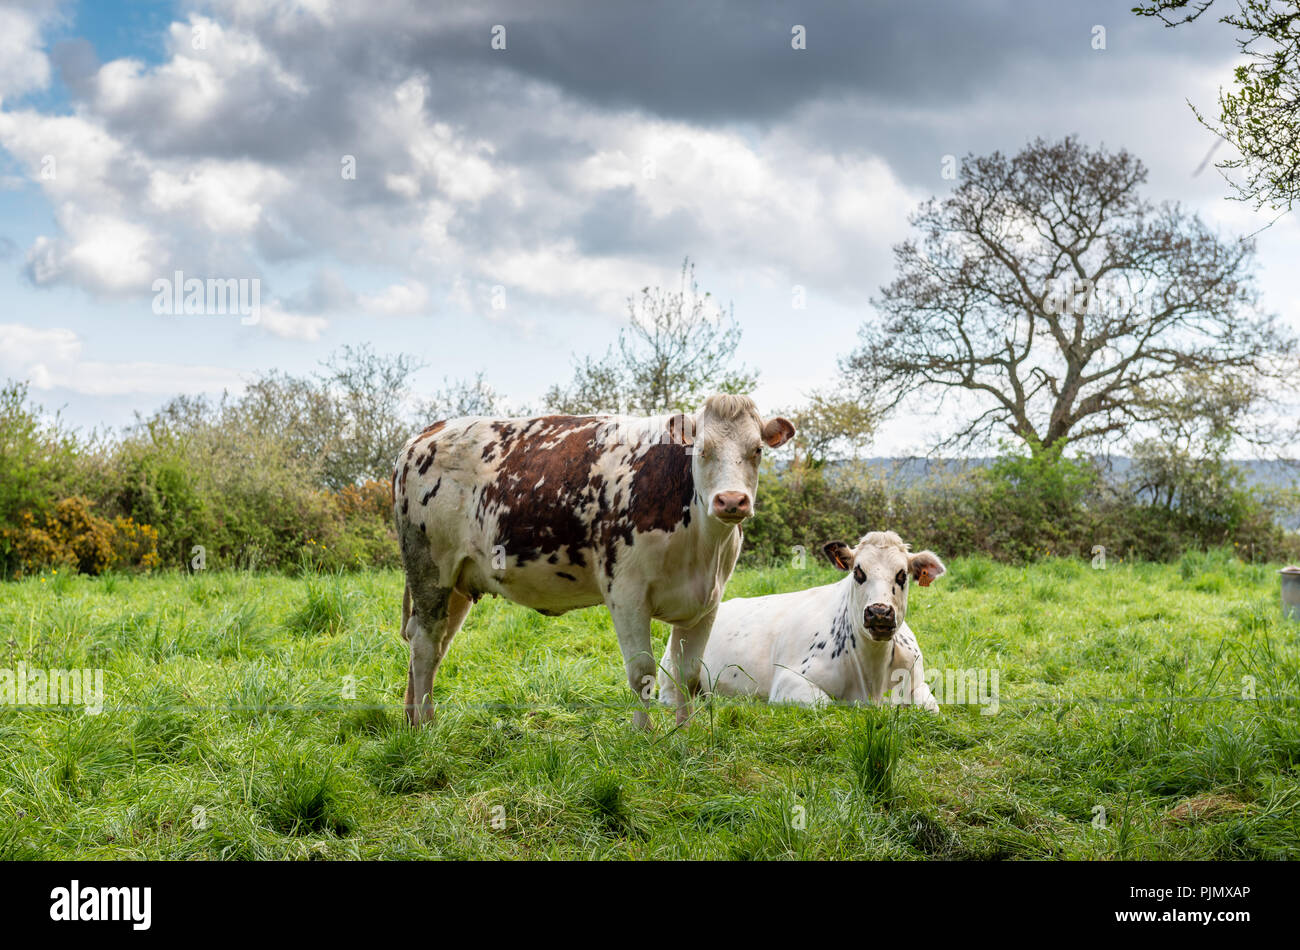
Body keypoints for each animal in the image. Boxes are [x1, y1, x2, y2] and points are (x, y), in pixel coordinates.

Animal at [392, 394, 794, 727]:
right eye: (702, 450)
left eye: (757, 450)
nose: (731, 501)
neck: (700, 545)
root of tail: (427, 433)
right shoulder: (626, 592)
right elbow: (643, 672)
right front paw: (644, 736)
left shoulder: (708, 601)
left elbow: (688, 674)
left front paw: (685, 734)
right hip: (429, 569)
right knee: (425, 644)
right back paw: (426, 726)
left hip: (457, 583)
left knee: (434, 643)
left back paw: (413, 719)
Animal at [659, 530, 944, 710]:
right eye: (858, 572)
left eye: (902, 575)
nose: (879, 612)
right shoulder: (788, 682)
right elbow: (826, 703)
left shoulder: (919, 681)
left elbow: (930, 707)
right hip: (671, 673)